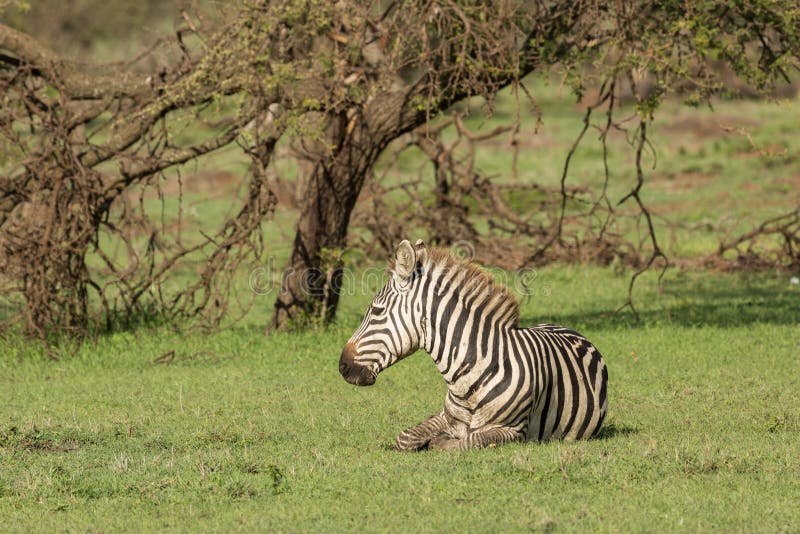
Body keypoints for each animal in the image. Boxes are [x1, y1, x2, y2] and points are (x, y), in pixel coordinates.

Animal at [339, 239, 608, 451]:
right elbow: (405, 437)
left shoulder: (513, 429)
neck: (467, 377)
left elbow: (466, 442)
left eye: (377, 311)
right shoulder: (445, 417)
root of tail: (567, 328)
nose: (342, 366)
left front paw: (440, 442)